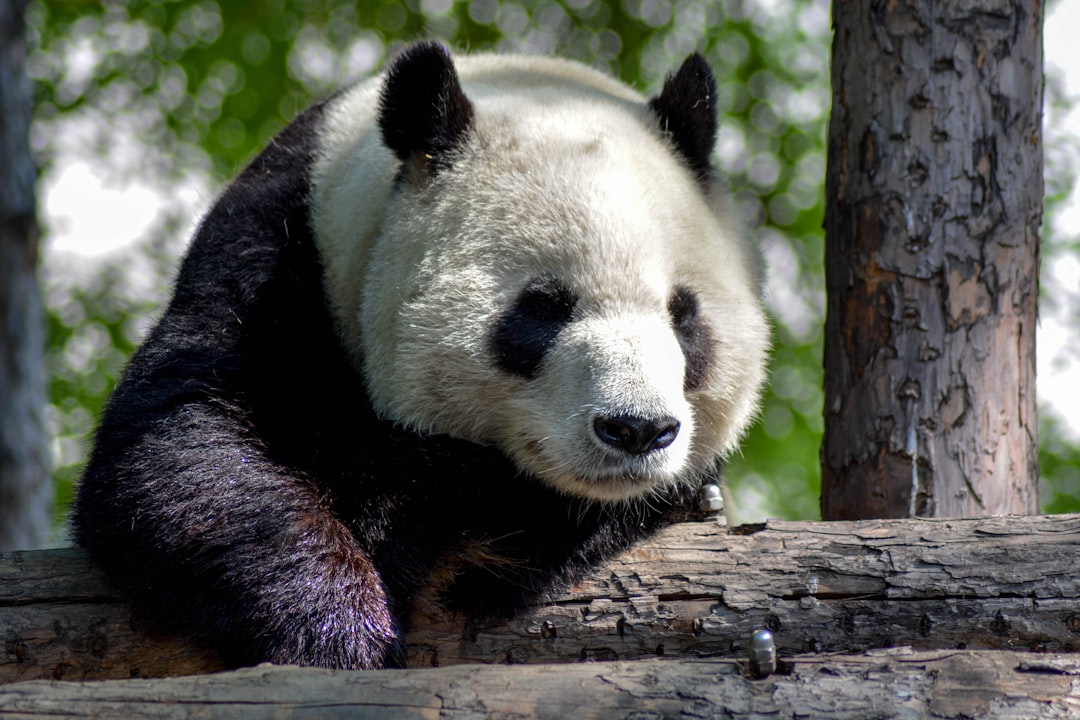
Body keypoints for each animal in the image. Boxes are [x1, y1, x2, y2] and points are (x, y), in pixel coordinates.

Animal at [73, 41, 769, 670]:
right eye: (543, 307)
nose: (637, 429)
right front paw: (340, 632)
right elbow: (182, 447)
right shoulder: (276, 253)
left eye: (683, 316)